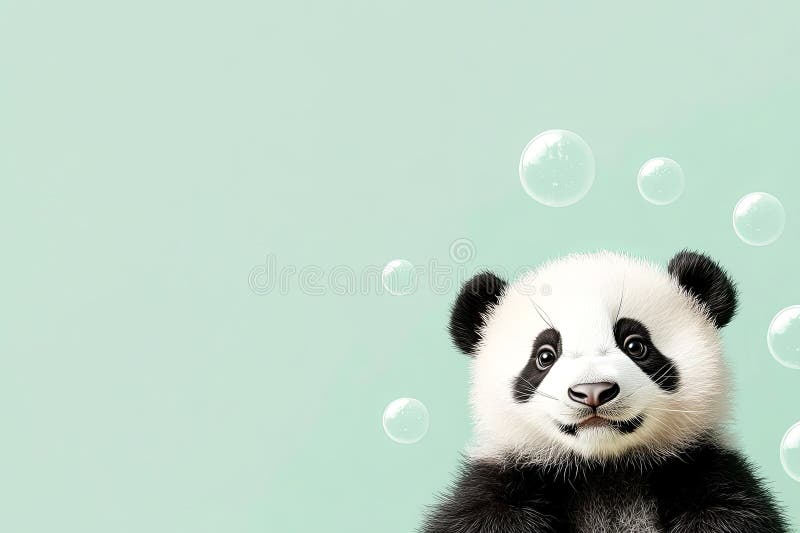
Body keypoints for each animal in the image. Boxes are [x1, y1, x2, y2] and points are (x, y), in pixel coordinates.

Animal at [422, 250, 788, 533]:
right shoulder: (498, 487)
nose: (593, 391)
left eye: (636, 345)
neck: (604, 468)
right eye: (544, 356)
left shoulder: (710, 474)